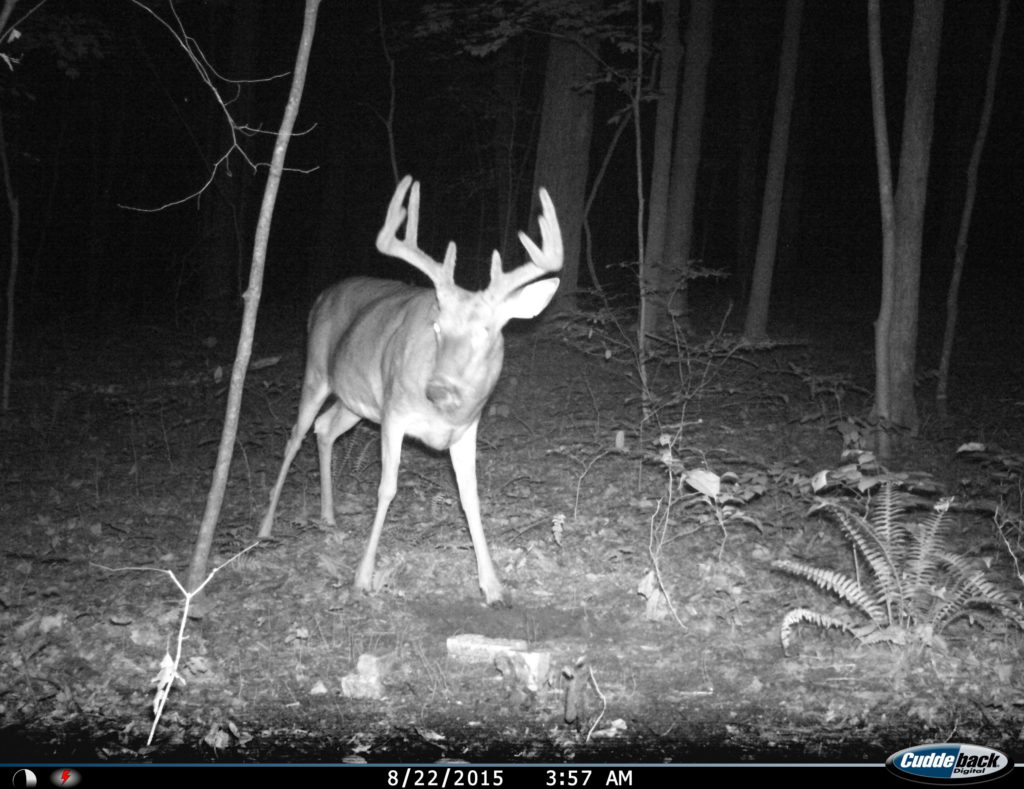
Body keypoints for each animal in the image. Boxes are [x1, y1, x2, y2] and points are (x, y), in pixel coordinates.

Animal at [258, 175, 563, 607]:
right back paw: (265, 528)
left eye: (486, 331)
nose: (438, 388)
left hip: (356, 402)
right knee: (295, 435)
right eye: (437, 326)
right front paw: (362, 577)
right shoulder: (395, 413)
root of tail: (320, 297)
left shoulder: (466, 429)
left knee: (325, 429)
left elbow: (470, 496)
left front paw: (492, 586)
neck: (445, 413)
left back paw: (329, 518)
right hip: (317, 371)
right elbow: (387, 488)